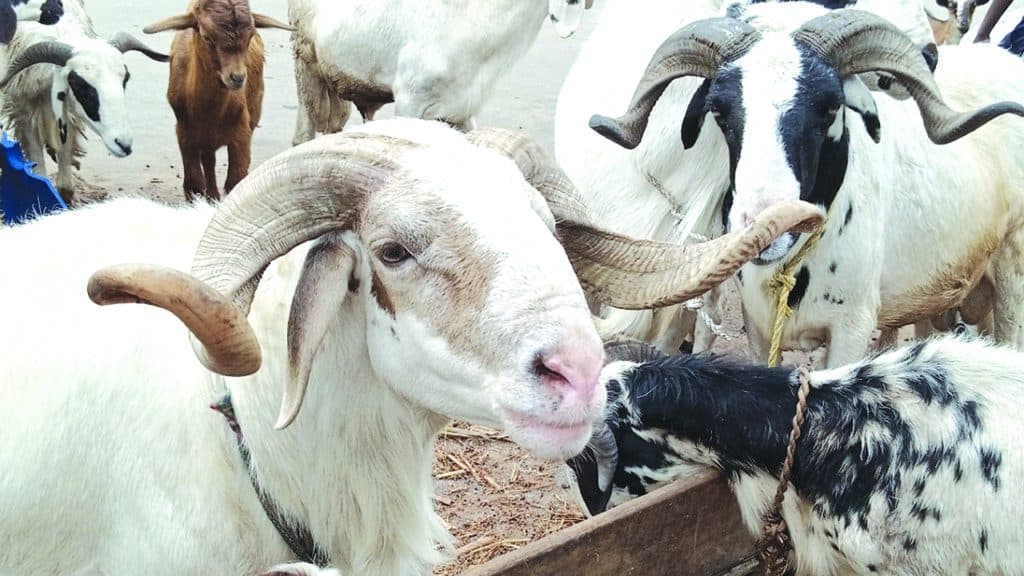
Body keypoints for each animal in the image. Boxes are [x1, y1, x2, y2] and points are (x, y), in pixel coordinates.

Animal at [0, 0, 166, 204]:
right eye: (79, 84)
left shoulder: (66, 116)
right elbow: (39, 175)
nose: (124, 144)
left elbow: (65, 184)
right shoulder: (24, 111)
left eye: (126, 78)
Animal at [143, 0, 293, 202]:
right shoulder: (184, 133)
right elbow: (194, 184)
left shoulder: (241, 132)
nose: (237, 78)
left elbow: (235, 180)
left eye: (250, 36)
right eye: (206, 37)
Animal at [588, 4, 1024, 367]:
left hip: (1012, 284)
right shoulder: (759, 328)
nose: (765, 225)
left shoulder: (851, 331)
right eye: (719, 111)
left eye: (831, 107)